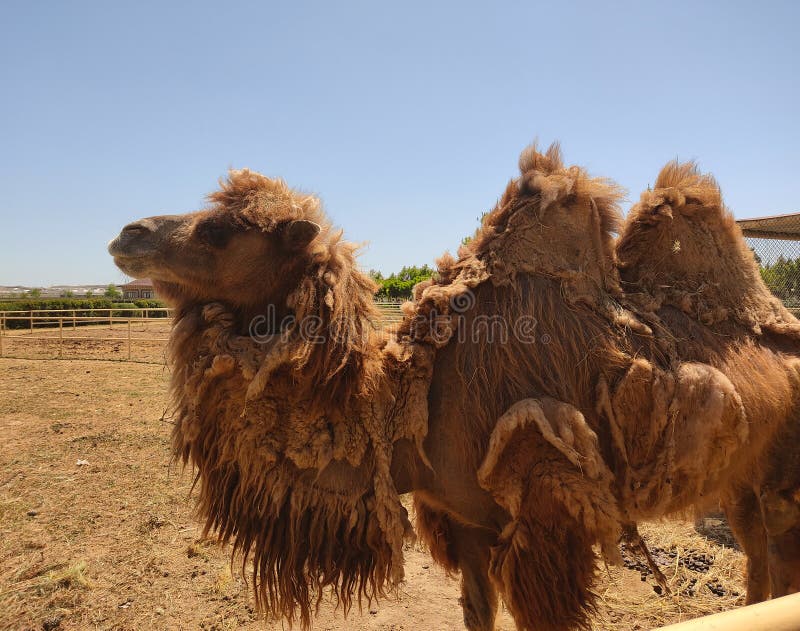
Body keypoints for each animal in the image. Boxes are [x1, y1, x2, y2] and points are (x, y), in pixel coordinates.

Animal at [107, 145, 800, 631]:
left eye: (220, 230)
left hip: (779, 482)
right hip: (742, 484)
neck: (403, 408)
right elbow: (476, 615)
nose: (127, 234)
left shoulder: (546, 515)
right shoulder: (466, 522)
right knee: (761, 565)